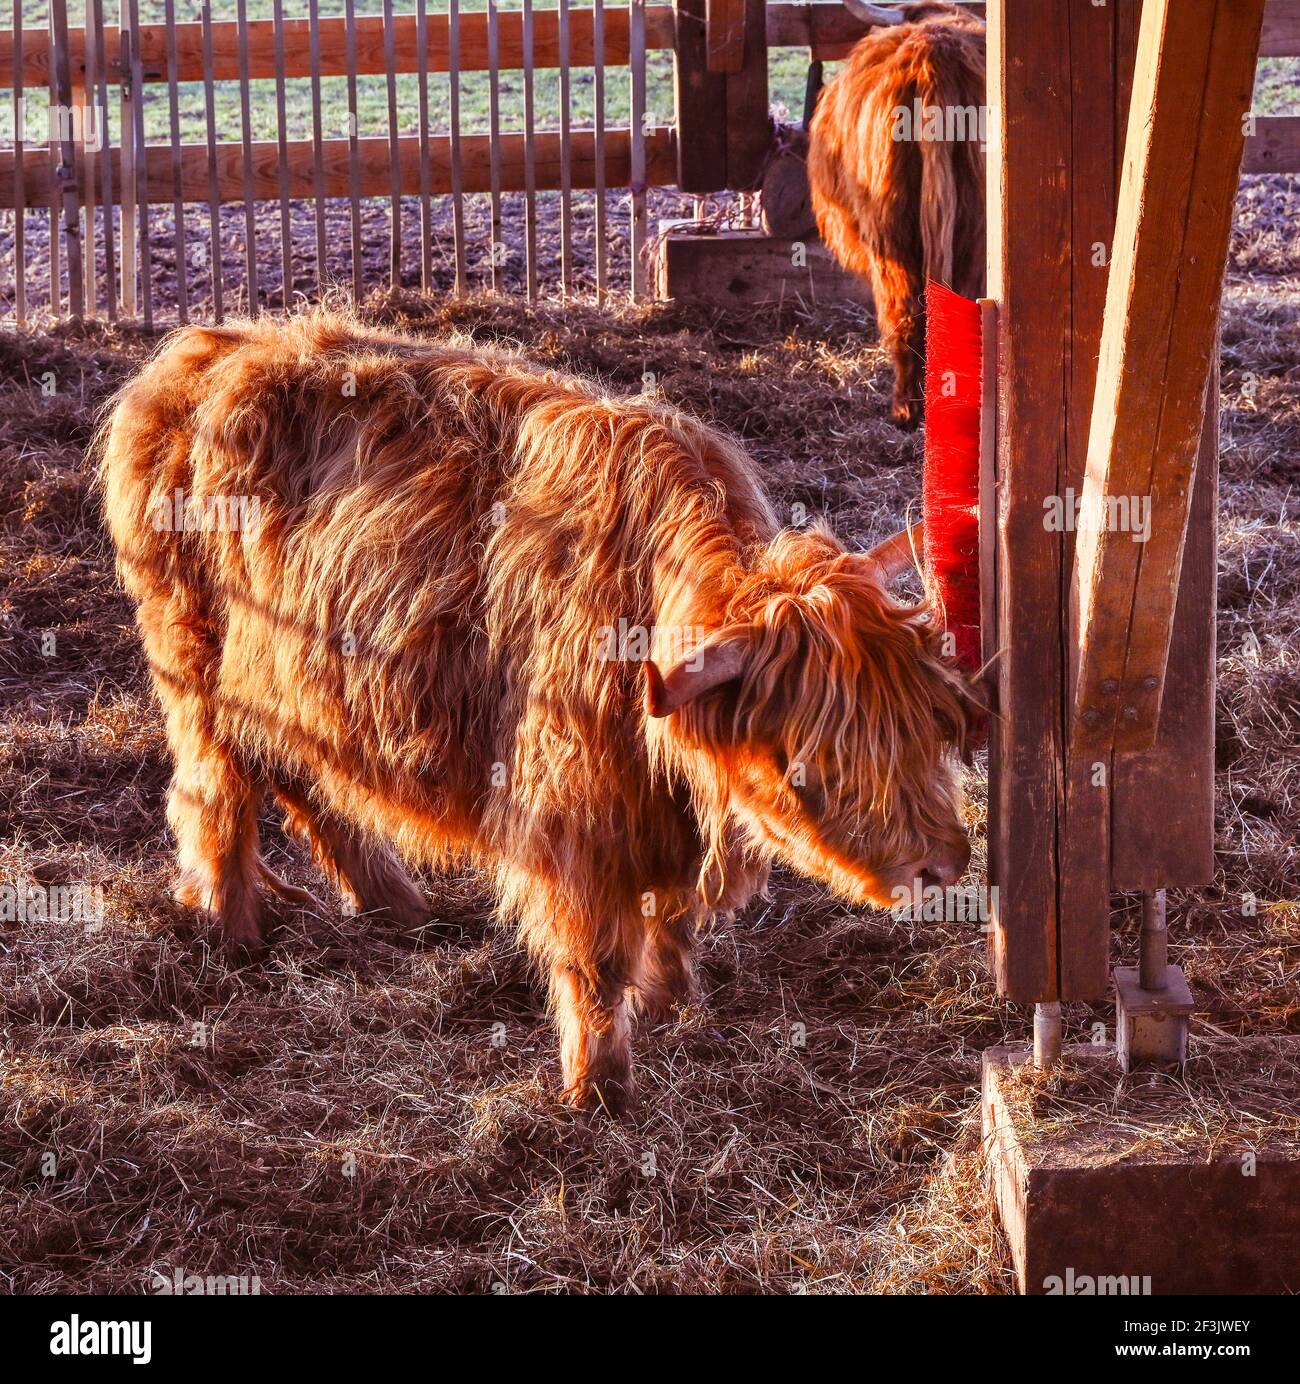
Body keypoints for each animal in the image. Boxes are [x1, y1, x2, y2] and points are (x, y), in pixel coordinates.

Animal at [99, 313, 977, 1113]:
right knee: (217, 790)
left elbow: (670, 915)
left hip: (289, 681)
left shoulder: (656, 813)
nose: (944, 866)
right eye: (816, 757)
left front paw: (671, 1002)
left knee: (298, 775)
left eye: (929, 727)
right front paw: (598, 1088)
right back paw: (235, 929)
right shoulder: (575, 816)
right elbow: (594, 957)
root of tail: (202, 349)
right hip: (192, 662)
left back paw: (392, 904)